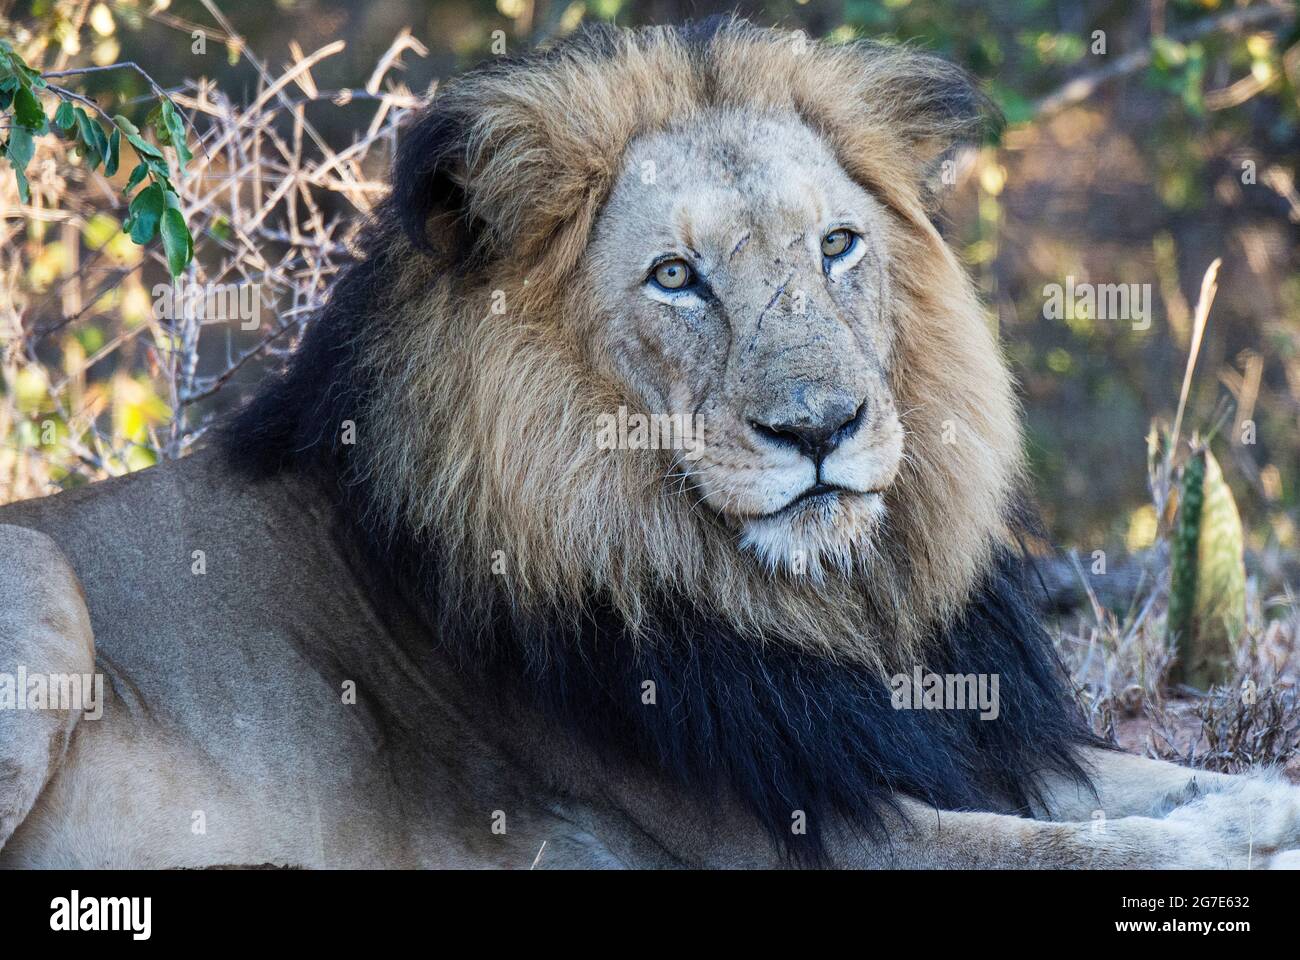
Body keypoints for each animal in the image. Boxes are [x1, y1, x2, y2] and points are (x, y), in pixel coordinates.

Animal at [2, 19, 1299, 869]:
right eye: (676, 278)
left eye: (837, 245)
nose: (820, 427)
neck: (812, 604)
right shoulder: (781, 835)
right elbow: (1074, 849)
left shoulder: (923, 733)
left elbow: (1166, 783)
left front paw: (1258, 808)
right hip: (44, 588)